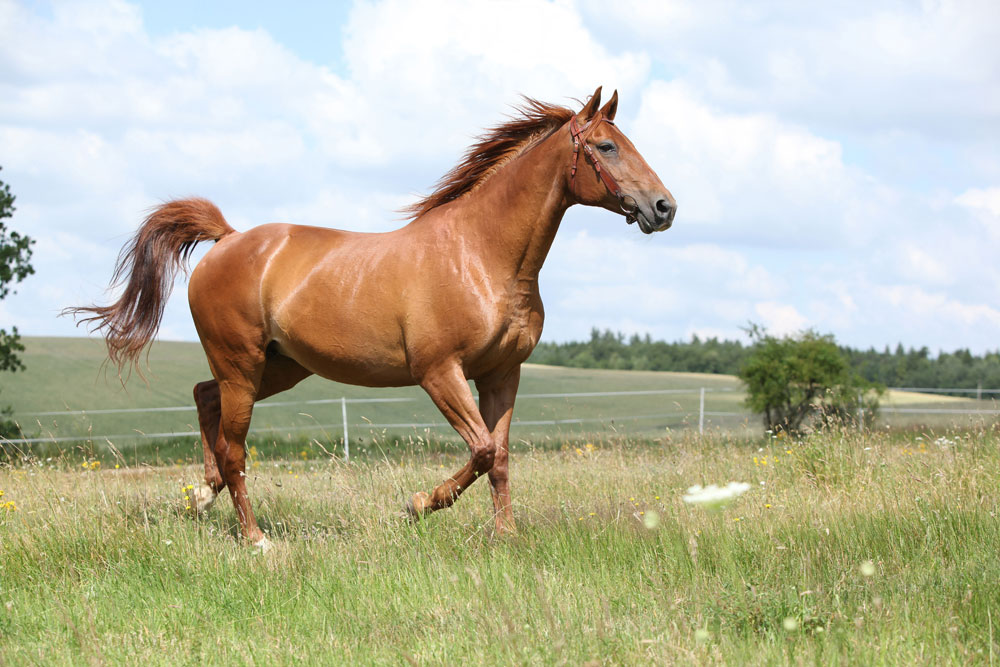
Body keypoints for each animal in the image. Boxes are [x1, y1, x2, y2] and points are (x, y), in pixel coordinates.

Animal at [69, 86, 676, 549]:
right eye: (606, 146)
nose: (665, 207)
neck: (480, 256)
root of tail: (228, 239)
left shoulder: (502, 374)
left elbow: (500, 457)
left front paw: (505, 537)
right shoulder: (440, 373)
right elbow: (480, 450)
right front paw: (417, 504)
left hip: (279, 367)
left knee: (205, 400)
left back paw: (200, 496)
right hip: (242, 366)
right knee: (234, 447)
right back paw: (256, 538)